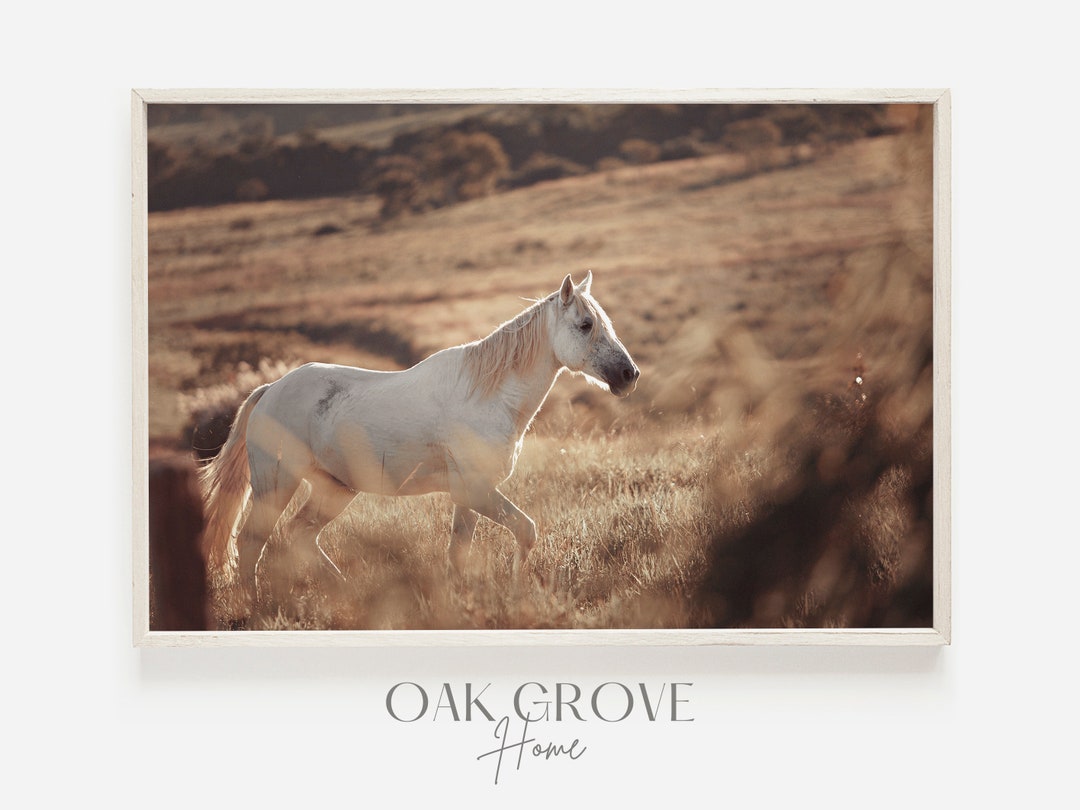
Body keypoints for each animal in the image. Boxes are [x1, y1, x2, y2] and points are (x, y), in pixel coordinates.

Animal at [199, 272, 639, 608]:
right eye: (585, 325)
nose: (628, 375)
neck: (489, 396)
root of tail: (269, 390)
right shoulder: (476, 490)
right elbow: (525, 530)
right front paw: (517, 591)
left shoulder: (468, 496)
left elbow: (459, 553)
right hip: (276, 484)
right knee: (252, 543)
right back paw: (256, 606)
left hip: (334, 490)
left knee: (300, 535)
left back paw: (349, 594)